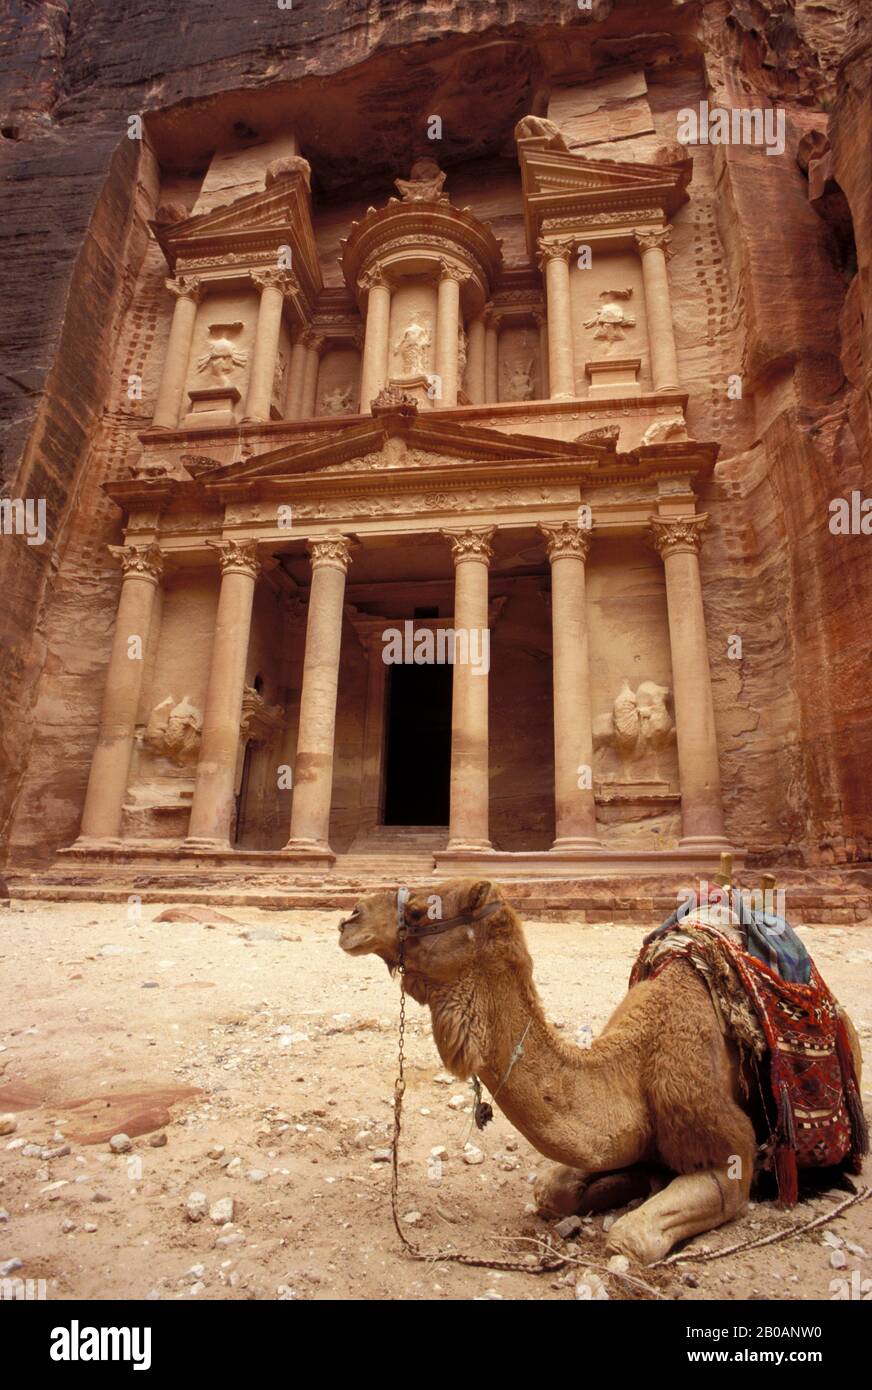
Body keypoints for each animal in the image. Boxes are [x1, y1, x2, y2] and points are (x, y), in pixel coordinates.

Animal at [338, 878, 863, 1264]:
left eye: (419, 911)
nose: (348, 919)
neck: (629, 1067)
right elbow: (552, 1190)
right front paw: (636, 1182)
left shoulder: (728, 1151)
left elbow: (631, 1238)